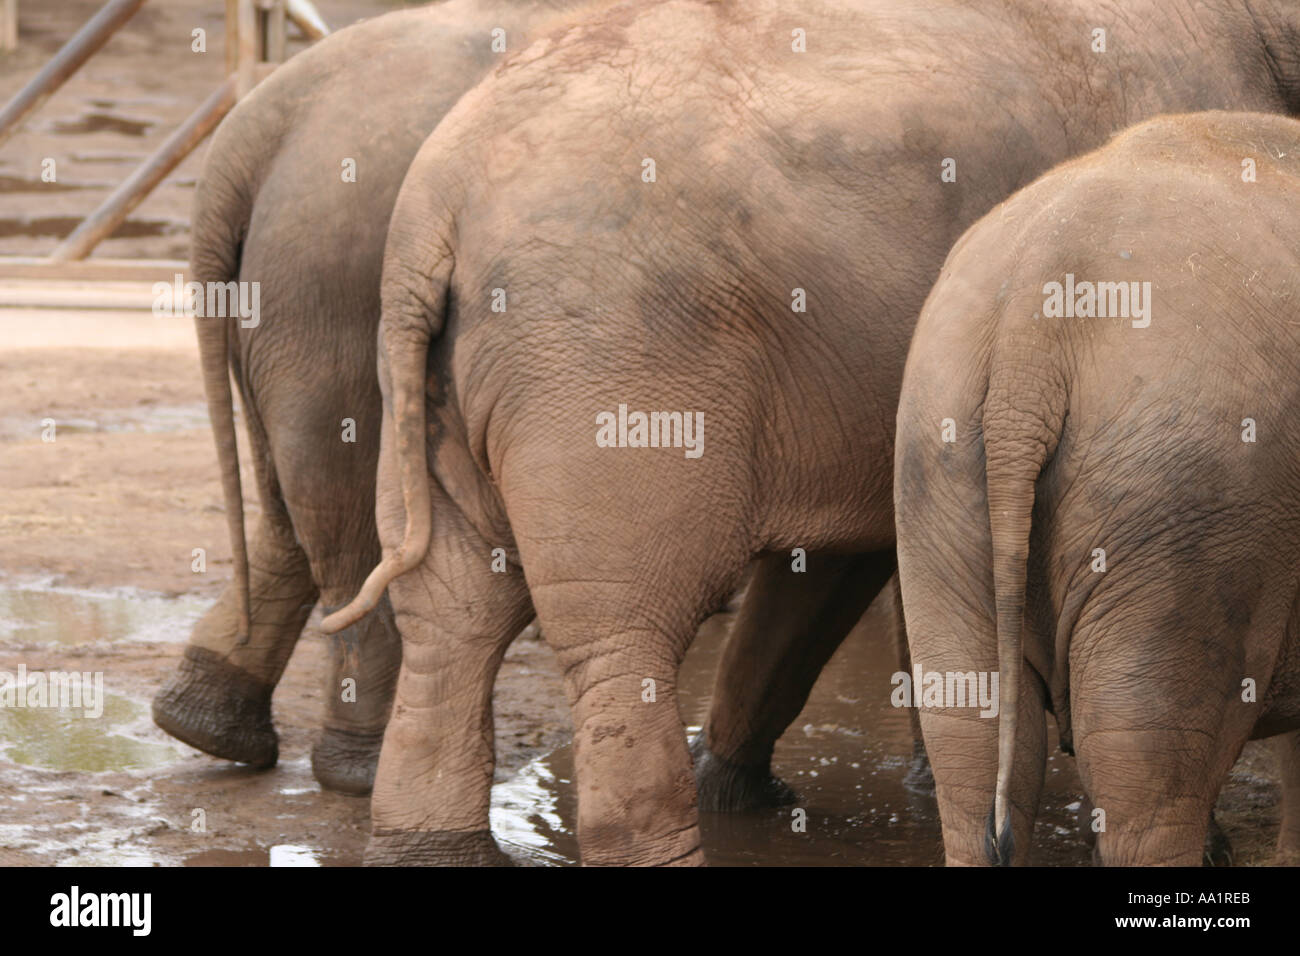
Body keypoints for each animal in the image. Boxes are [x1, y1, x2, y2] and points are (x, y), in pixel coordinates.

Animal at [151, 0, 915, 804]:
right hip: (330, 296)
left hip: (290, 304)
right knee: (345, 520)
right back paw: (349, 770)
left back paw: (208, 729)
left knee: (296, 509)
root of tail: (255, 131)